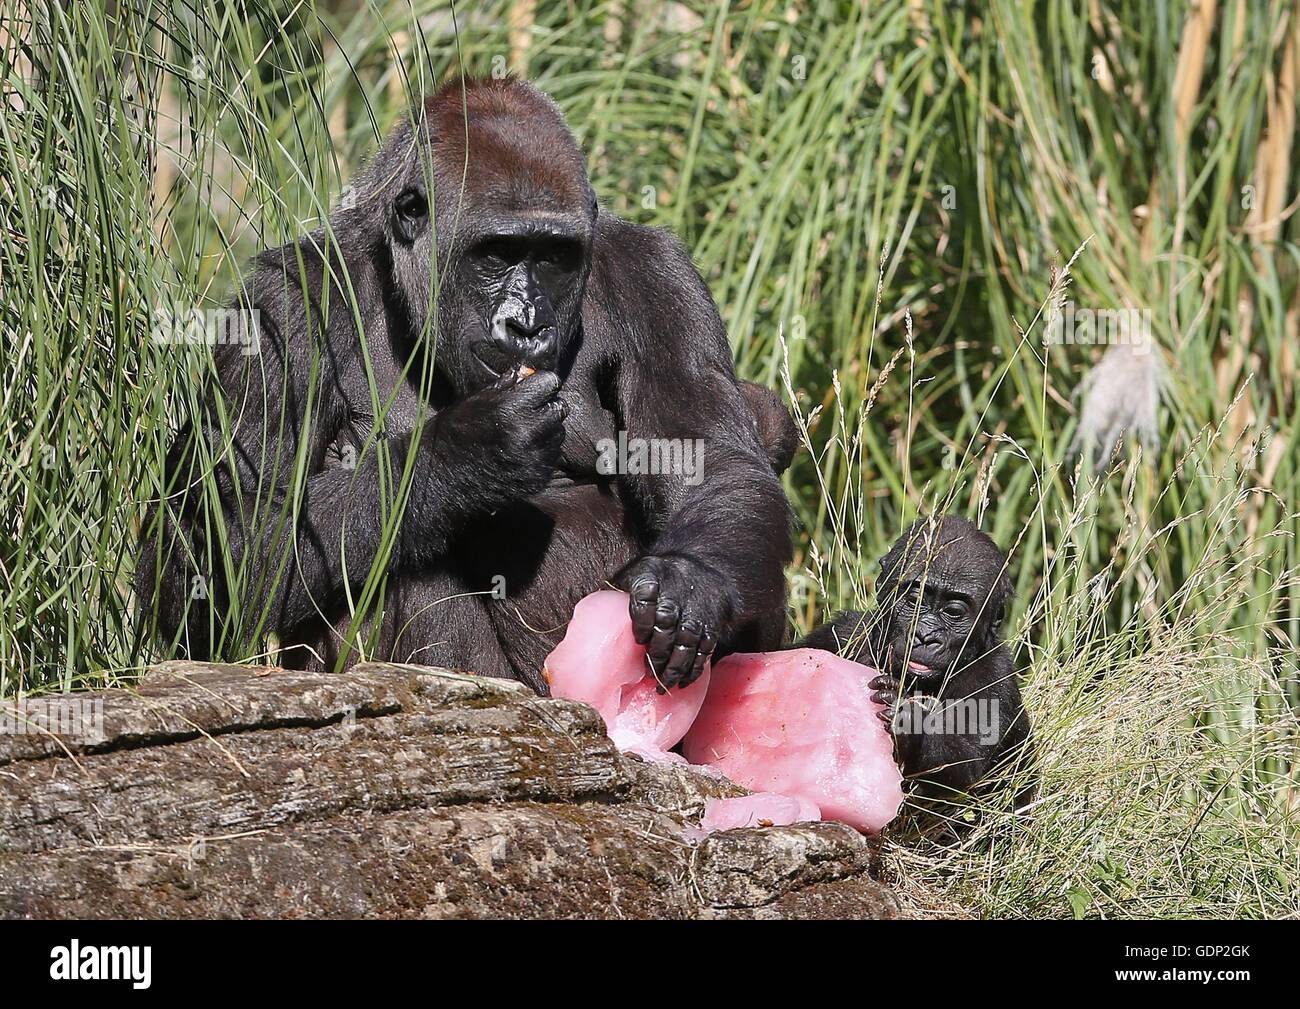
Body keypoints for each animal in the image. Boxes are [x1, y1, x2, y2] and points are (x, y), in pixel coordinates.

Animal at [137, 76, 796, 695]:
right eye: (497, 254)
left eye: (554, 256)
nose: (526, 323)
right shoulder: (283, 306)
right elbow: (211, 552)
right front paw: (465, 453)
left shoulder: (660, 276)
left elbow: (712, 463)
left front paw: (691, 581)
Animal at [800, 515, 1031, 803]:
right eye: (914, 601)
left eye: (953, 612)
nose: (925, 636)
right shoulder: (841, 631)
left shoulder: (995, 672)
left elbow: (962, 766)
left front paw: (909, 720)